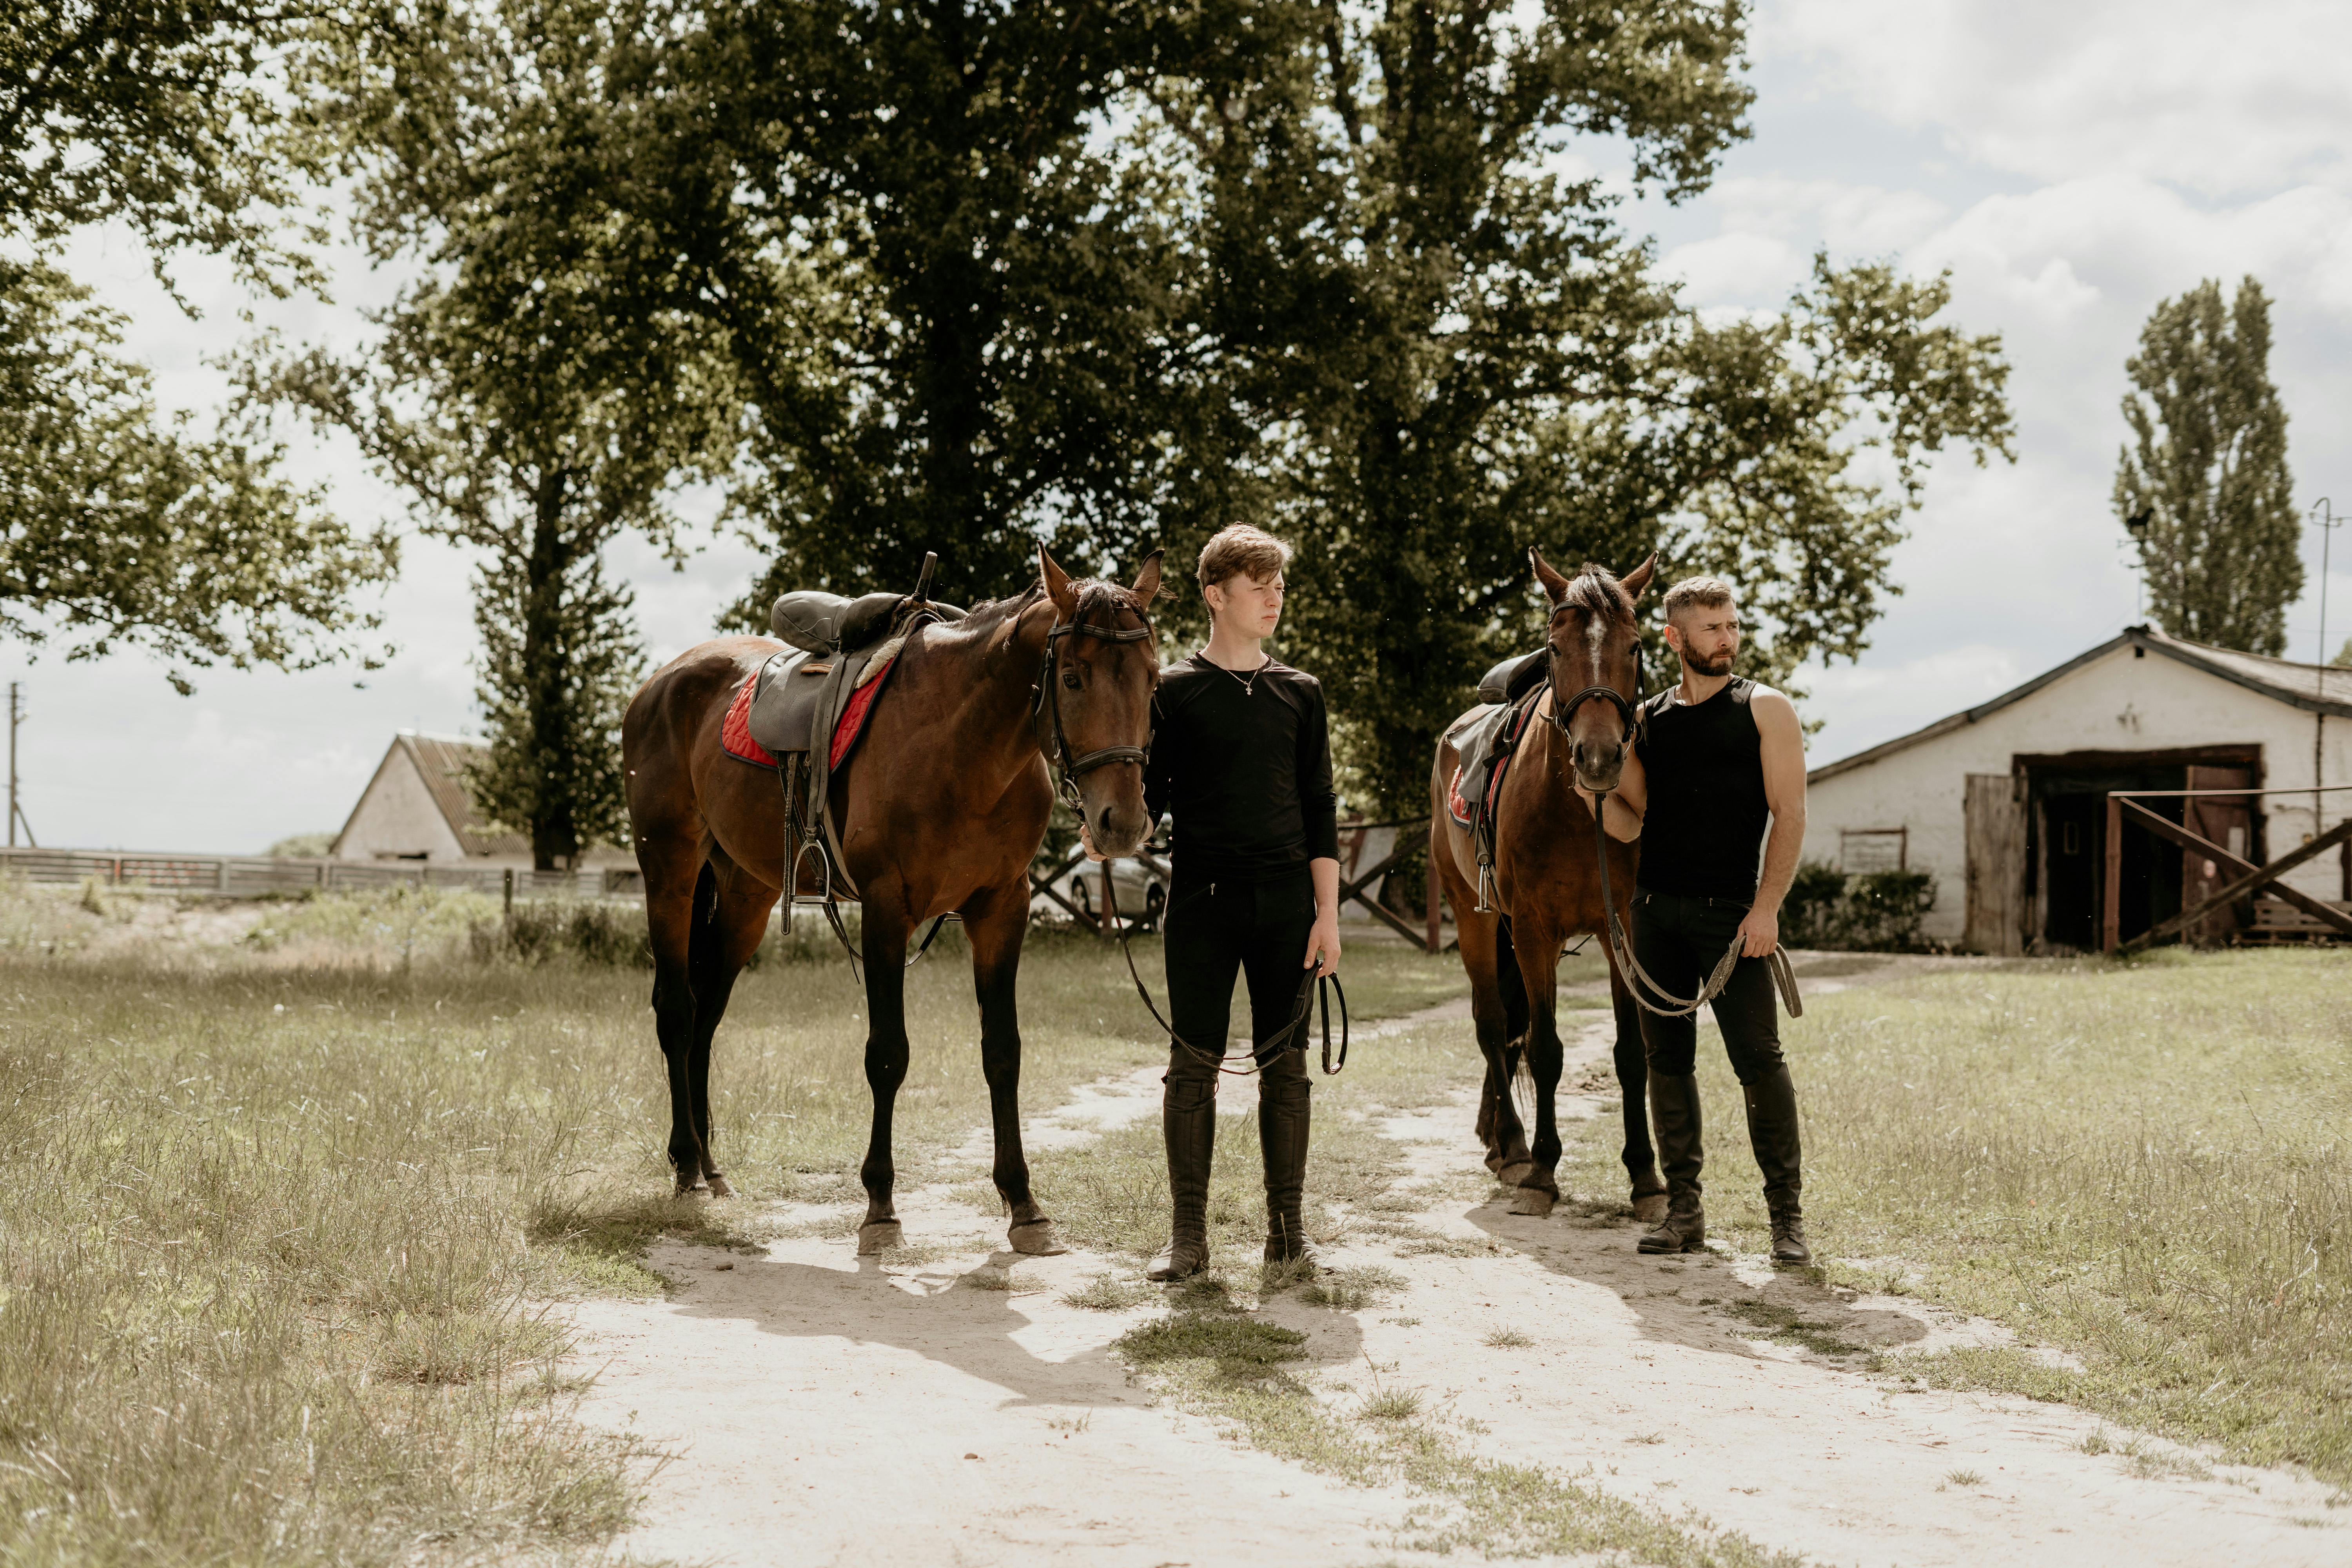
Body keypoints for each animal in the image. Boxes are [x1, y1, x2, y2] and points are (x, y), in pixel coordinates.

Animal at [620, 546, 1164, 1255]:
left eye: (1153, 681)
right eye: (1072, 678)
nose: (1120, 823)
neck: (962, 745)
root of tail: (660, 684)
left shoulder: (1002, 909)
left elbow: (1003, 1053)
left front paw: (1023, 1204)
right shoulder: (885, 910)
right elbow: (888, 1054)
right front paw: (879, 1204)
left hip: (745, 897)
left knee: (708, 1017)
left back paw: (711, 1168)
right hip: (670, 871)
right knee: (678, 1012)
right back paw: (686, 1164)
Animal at [1427, 550, 1666, 1223]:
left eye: (1635, 645)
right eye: (1556, 648)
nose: (1599, 758)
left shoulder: (1622, 933)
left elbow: (1630, 1054)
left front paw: (1646, 1176)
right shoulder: (1533, 930)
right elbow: (1546, 1047)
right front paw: (1542, 1171)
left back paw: (1494, 1137)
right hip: (1477, 918)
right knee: (1491, 1023)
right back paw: (1511, 1147)